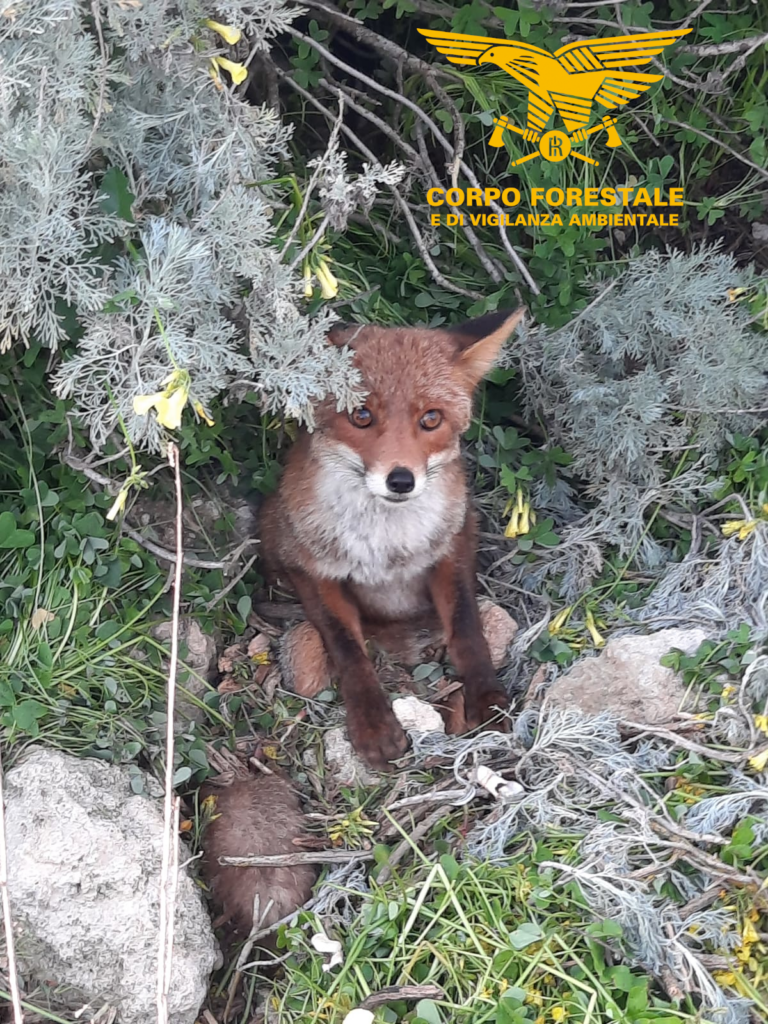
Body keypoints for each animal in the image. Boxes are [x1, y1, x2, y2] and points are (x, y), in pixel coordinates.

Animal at [259, 307, 525, 771]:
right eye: (361, 415)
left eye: (431, 418)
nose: (401, 480)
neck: (387, 550)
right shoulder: (308, 565)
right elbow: (347, 648)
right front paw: (373, 723)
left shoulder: (453, 544)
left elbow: (468, 629)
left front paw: (487, 697)